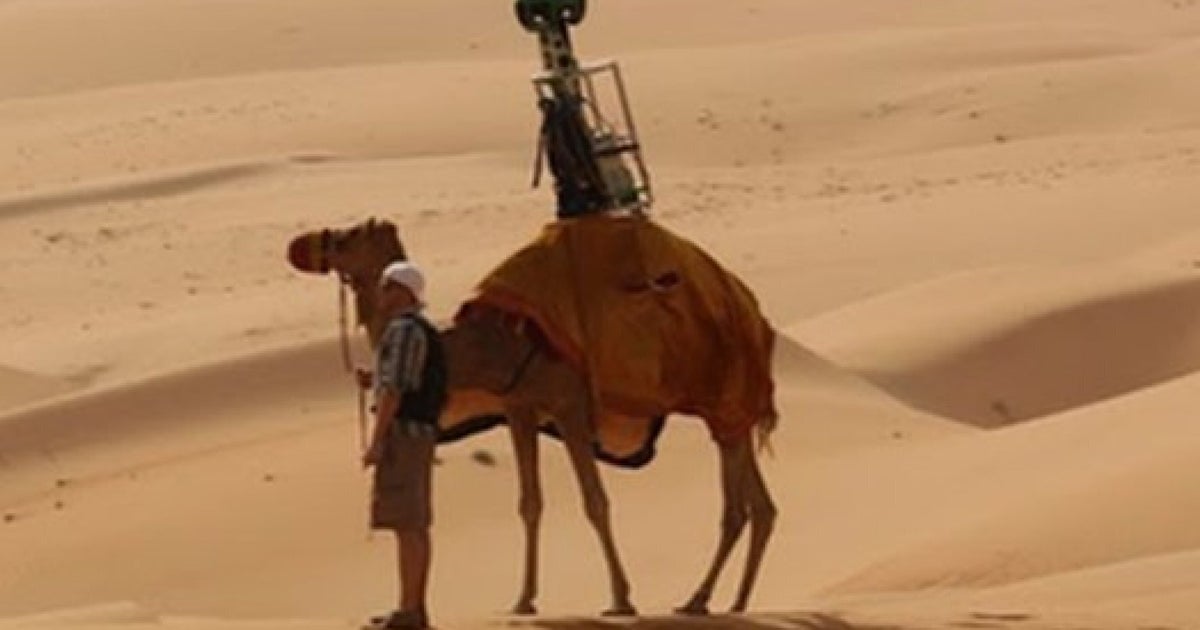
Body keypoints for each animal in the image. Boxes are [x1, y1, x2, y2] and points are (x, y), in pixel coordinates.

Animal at [286, 217, 778, 617]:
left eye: (346, 236)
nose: (298, 245)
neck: (495, 344)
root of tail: (755, 311)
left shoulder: (569, 407)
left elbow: (595, 502)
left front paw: (621, 599)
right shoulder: (520, 408)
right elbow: (530, 503)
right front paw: (523, 600)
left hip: (724, 398)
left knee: (736, 508)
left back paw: (698, 599)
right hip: (733, 412)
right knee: (760, 505)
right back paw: (735, 602)